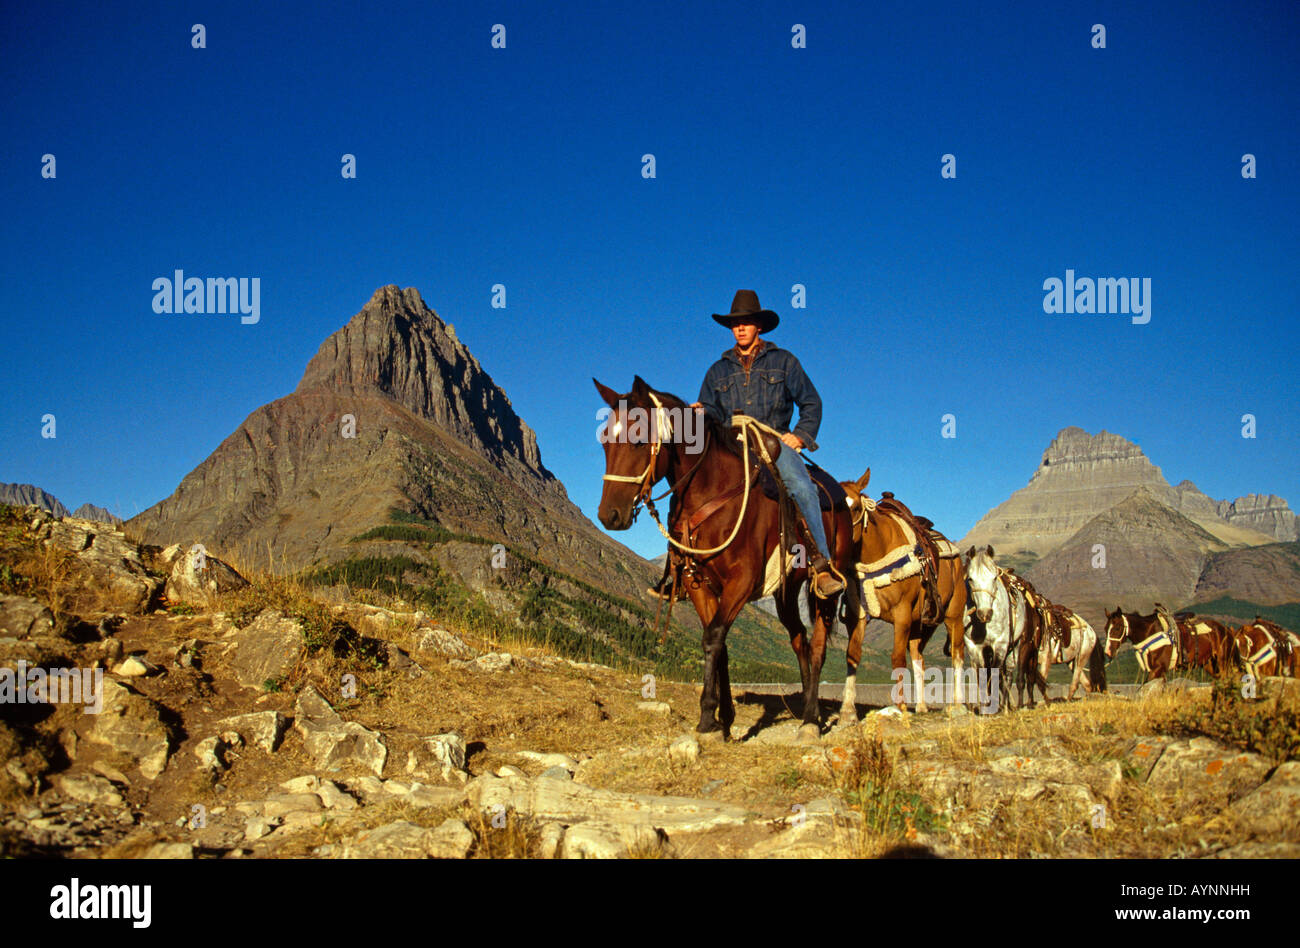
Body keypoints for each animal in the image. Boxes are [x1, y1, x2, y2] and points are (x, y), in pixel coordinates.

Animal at [593, 376, 856, 743]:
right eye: (605, 442)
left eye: (639, 439)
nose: (609, 515)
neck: (713, 493)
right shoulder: (698, 582)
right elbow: (719, 644)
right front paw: (724, 719)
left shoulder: (741, 581)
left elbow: (713, 637)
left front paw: (708, 720)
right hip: (786, 592)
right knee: (799, 641)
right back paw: (807, 707)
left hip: (825, 590)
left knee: (817, 645)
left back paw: (810, 721)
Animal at [838, 469, 967, 718]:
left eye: (856, 507)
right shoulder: (858, 615)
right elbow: (852, 654)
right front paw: (847, 710)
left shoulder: (902, 614)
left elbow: (897, 658)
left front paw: (900, 706)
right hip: (922, 624)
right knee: (918, 658)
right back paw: (922, 706)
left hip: (953, 617)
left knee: (957, 656)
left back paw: (958, 705)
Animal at [960, 546, 1029, 712]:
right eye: (970, 579)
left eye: (994, 578)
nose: (985, 614)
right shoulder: (974, 647)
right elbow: (982, 674)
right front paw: (985, 706)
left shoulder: (1000, 644)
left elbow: (997, 673)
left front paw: (996, 706)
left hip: (1014, 645)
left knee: (1008, 674)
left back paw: (1005, 705)